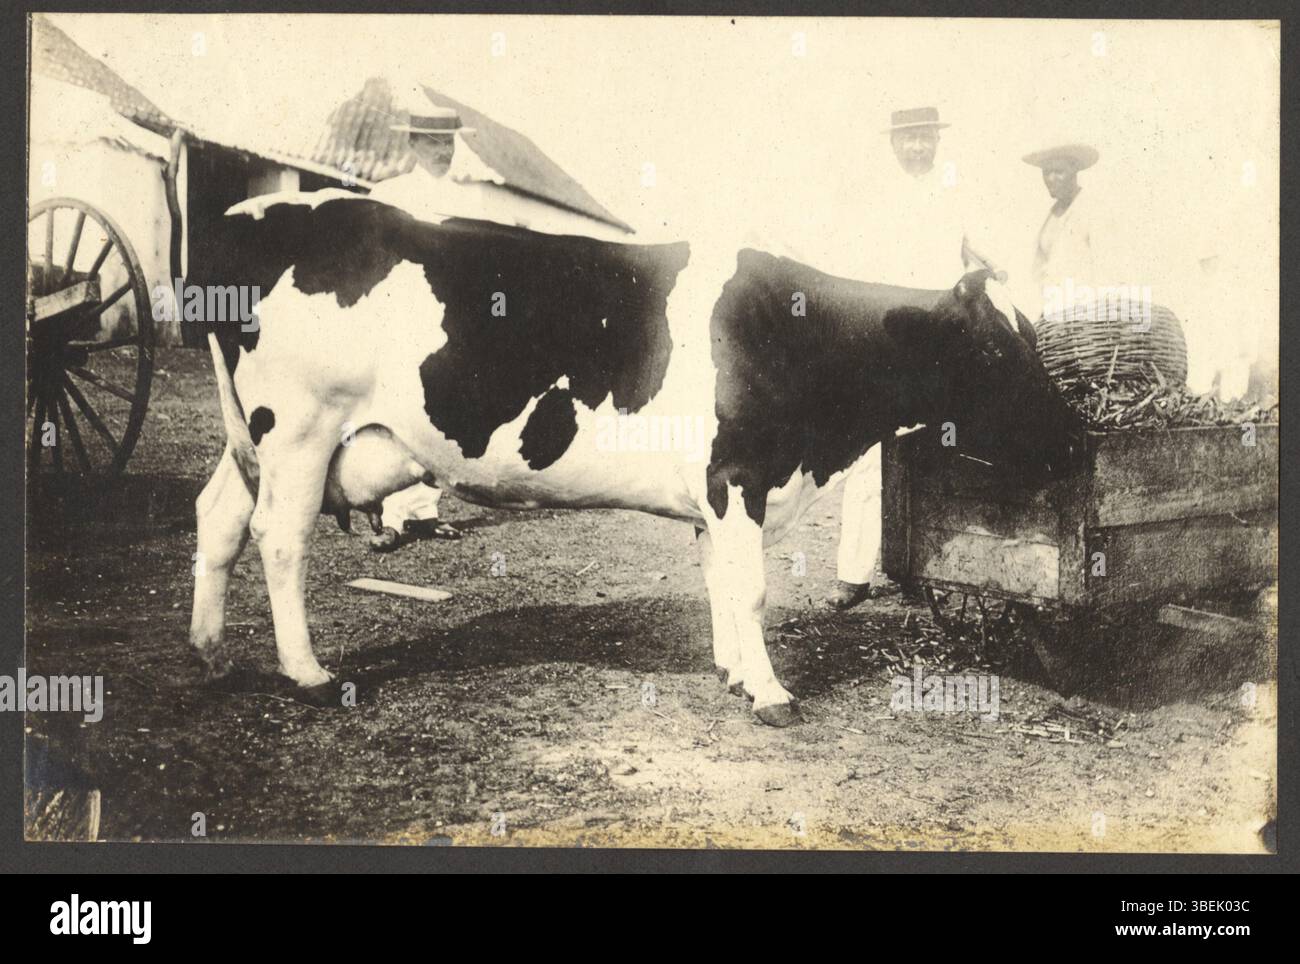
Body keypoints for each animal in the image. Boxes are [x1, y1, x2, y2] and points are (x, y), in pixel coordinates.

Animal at [187, 191, 1082, 726]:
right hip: (300, 429)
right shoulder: (738, 474)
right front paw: (770, 693)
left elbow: (720, 582)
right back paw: (305, 672)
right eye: (996, 350)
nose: (1073, 433)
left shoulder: (715, 494)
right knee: (280, 540)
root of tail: (255, 211)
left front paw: (732, 672)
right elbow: (750, 588)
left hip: (254, 442)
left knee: (218, 519)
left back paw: (210, 653)